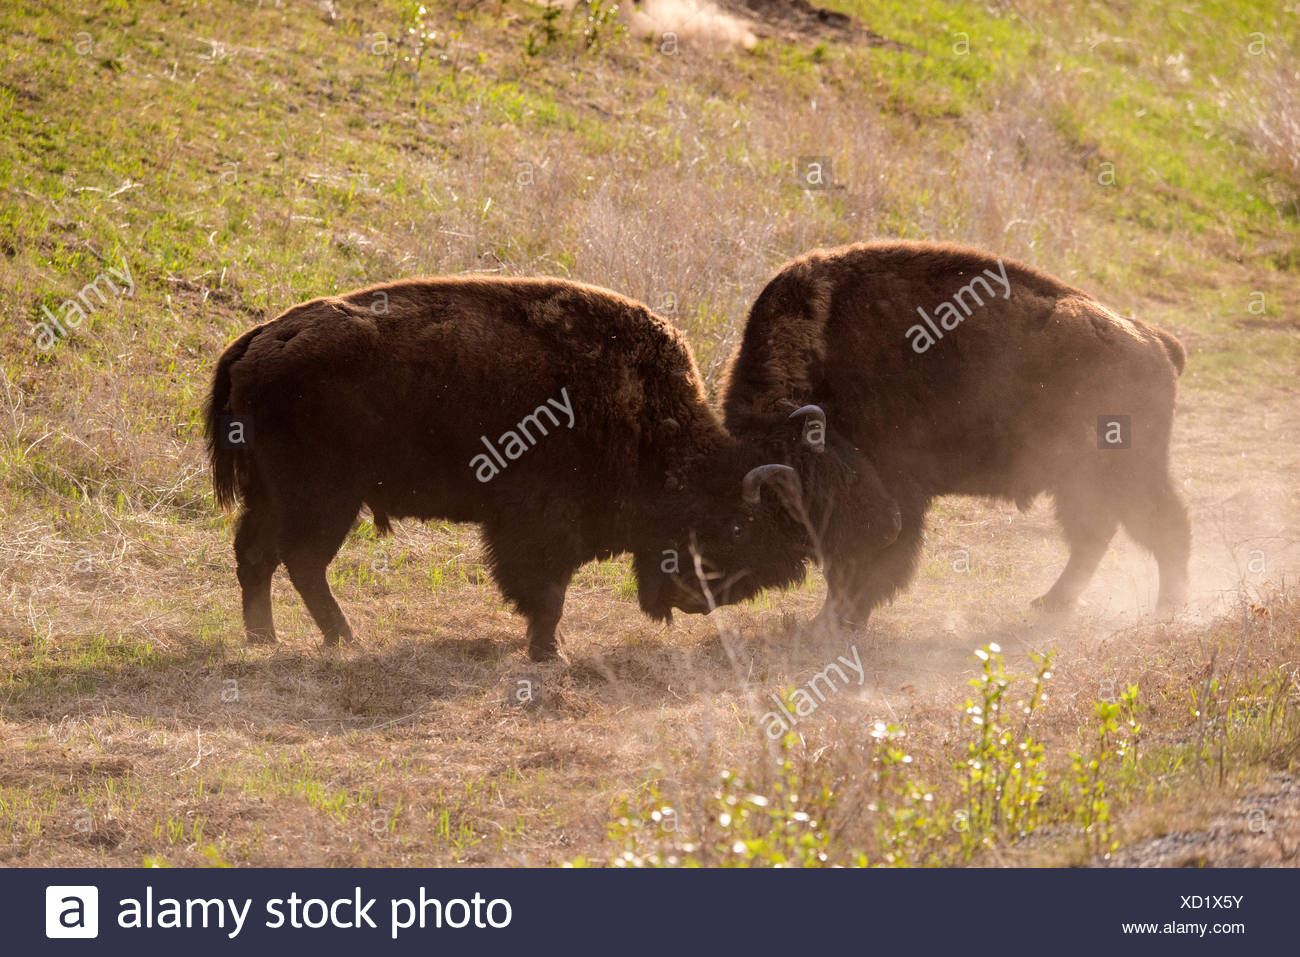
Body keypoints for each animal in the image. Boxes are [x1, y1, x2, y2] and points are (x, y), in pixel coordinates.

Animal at [204, 277, 807, 660]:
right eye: (737, 526)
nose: (697, 600)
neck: (647, 419)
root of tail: (257, 340)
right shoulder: (541, 529)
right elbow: (548, 592)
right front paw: (550, 652)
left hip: (276, 496)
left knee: (257, 557)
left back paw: (267, 639)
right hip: (323, 499)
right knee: (301, 561)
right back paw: (344, 639)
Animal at [721, 241, 1190, 628]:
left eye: (744, 524)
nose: (717, 592)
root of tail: (1154, 340)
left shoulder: (896, 492)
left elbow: (866, 565)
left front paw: (835, 621)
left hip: (1125, 471)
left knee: (1163, 526)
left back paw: (1166, 610)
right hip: (1080, 480)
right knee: (1096, 535)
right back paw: (1052, 603)